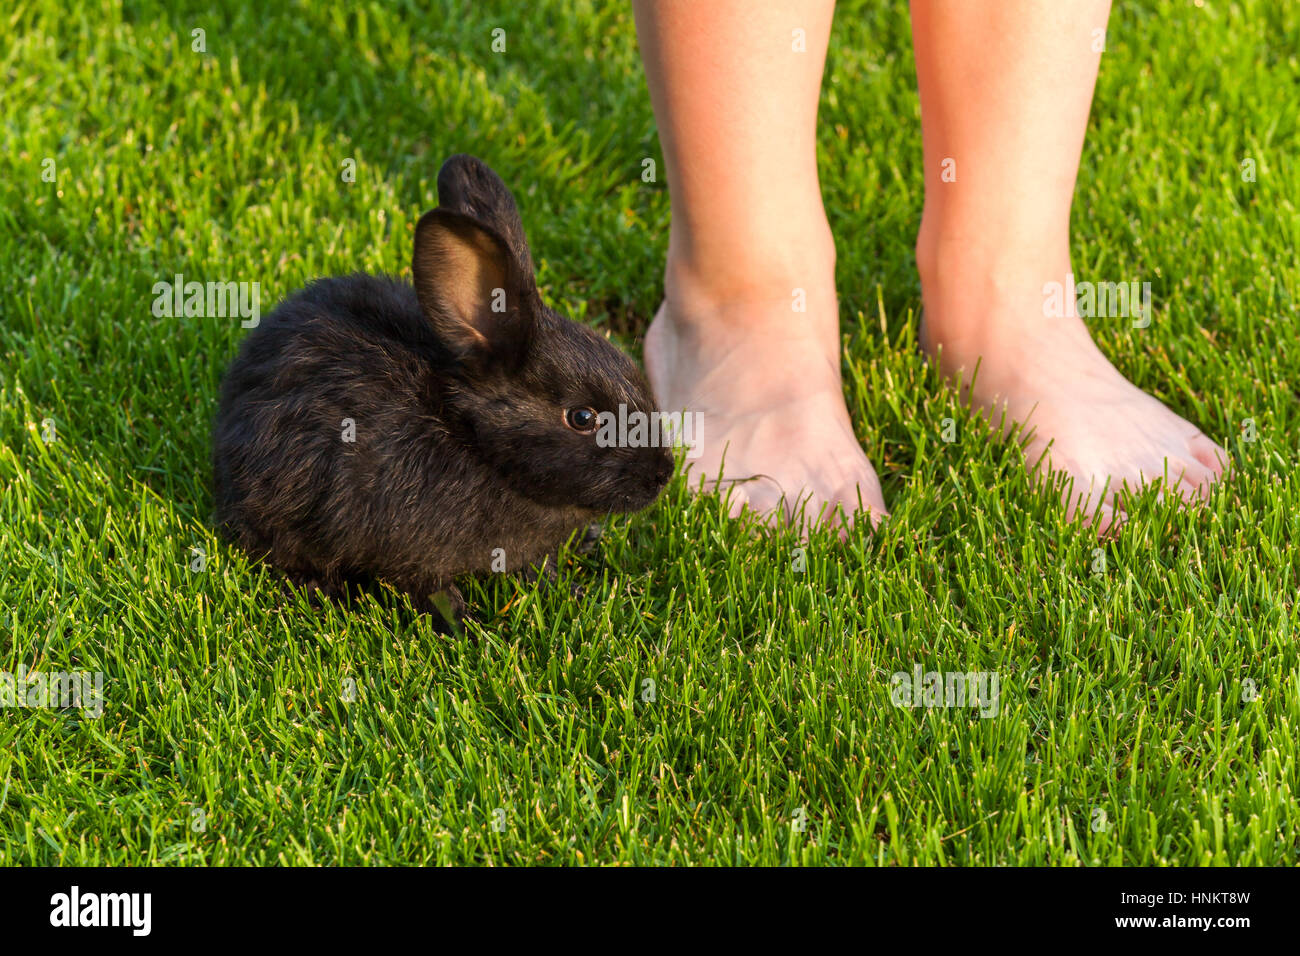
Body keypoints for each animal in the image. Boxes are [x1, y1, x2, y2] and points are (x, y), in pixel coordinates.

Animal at [211, 154, 674, 624]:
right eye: (583, 417)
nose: (662, 474)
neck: (473, 440)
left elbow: (536, 567)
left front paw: (569, 590)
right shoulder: (414, 554)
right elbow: (436, 593)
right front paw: (467, 628)